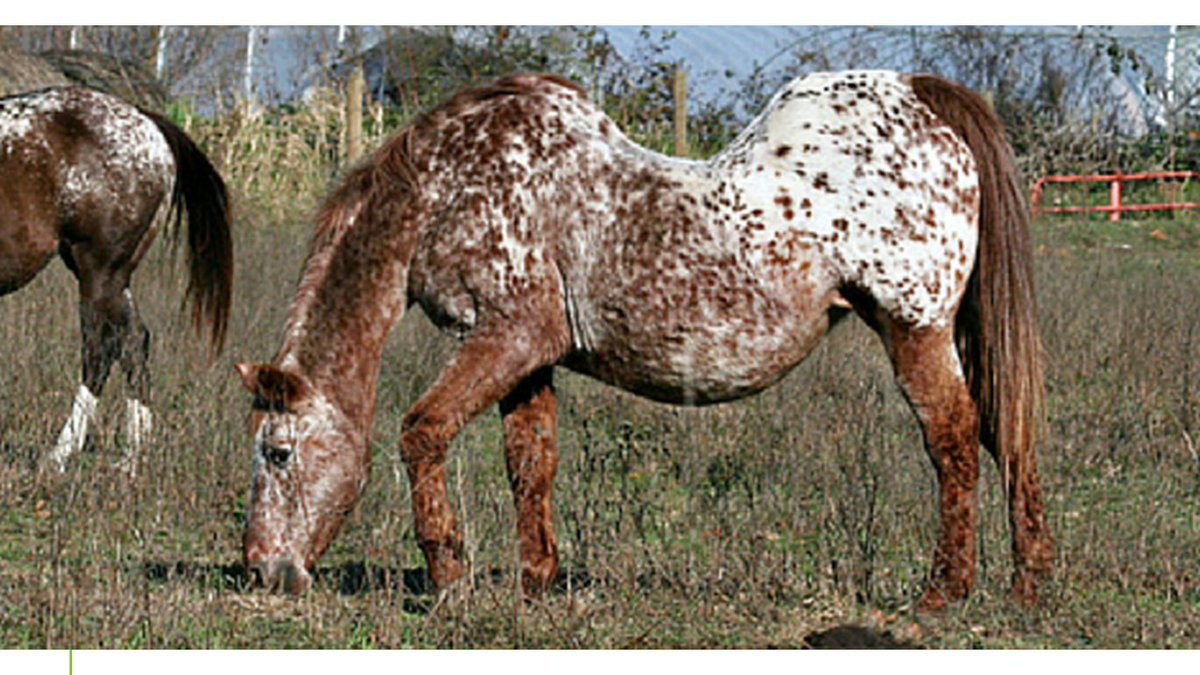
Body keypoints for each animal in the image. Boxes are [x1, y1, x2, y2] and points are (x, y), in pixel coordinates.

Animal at [0, 86, 233, 473]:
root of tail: (148, 122)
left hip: (99, 273)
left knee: (100, 349)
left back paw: (60, 455)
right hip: (114, 279)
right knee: (134, 342)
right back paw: (132, 457)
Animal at [233, 70, 1052, 610]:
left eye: (278, 453)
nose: (263, 570)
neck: (446, 187)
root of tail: (922, 95)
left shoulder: (504, 337)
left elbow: (422, 431)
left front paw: (448, 577)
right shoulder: (530, 357)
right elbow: (531, 463)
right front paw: (535, 582)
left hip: (914, 330)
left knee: (954, 438)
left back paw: (946, 589)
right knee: (1006, 433)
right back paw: (1029, 577)